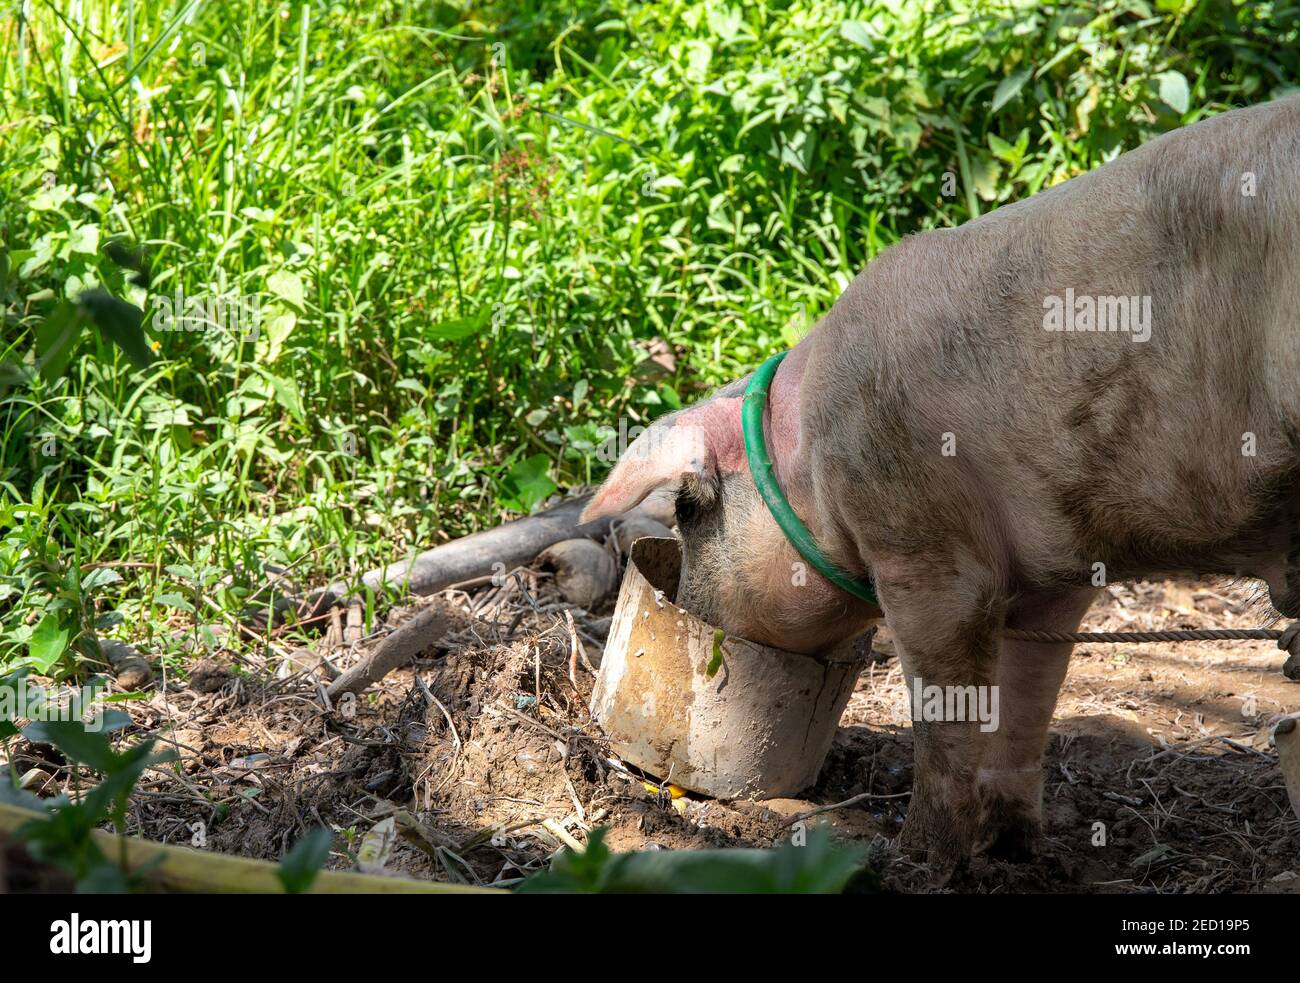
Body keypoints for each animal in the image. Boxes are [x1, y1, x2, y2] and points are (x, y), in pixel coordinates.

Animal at [581, 95, 1300, 871]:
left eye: (688, 508)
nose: (685, 601)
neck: (810, 461)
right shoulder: (1057, 574)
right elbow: (1027, 700)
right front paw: (1015, 849)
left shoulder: (920, 539)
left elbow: (946, 713)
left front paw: (917, 855)